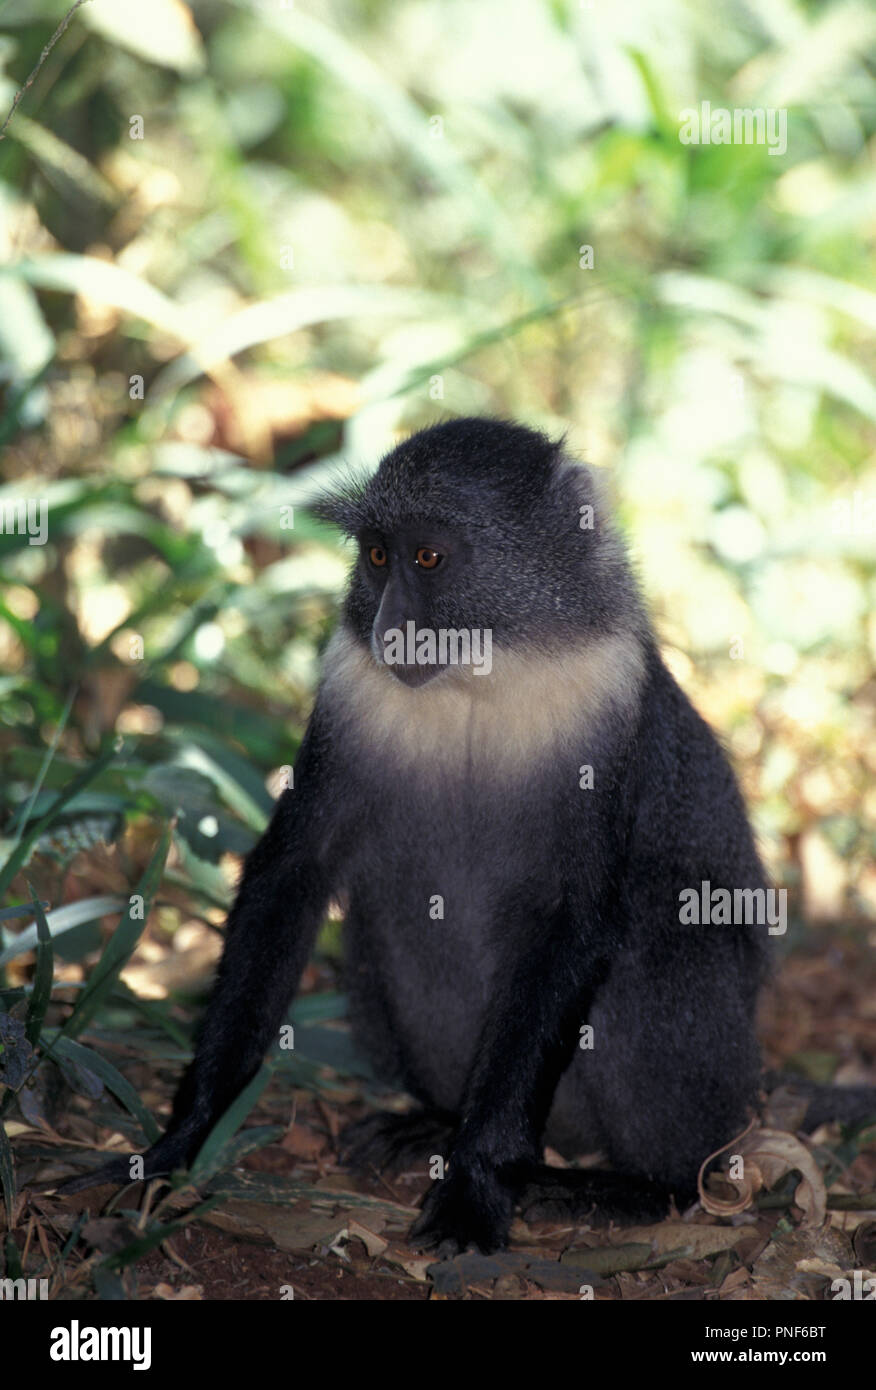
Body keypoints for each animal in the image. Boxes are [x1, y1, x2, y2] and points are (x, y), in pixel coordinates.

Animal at [59, 418, 876, 1254]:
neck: (481, 673)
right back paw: (435, 1124)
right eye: (376, 556)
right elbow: (292, 873)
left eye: (428, 557)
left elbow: (577, 920)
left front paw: (476, 1186)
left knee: (657, 939)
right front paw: (186, 1138)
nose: (389, 627)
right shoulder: (349, 698)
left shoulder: (606, 710)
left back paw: (633, 1185)